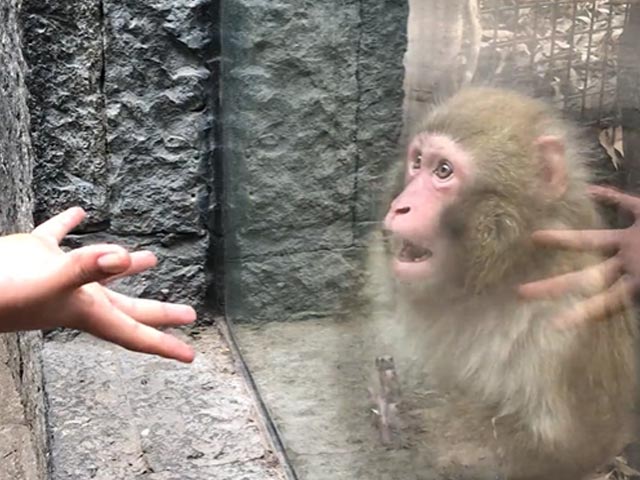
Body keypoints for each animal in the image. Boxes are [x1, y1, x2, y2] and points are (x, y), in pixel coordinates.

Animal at [363, 87, 639, 480]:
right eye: (417, 162)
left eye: (443, 171)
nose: (401, 206)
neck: (500, 276)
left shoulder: (567, 322)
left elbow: (572, 447)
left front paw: (404, 419)